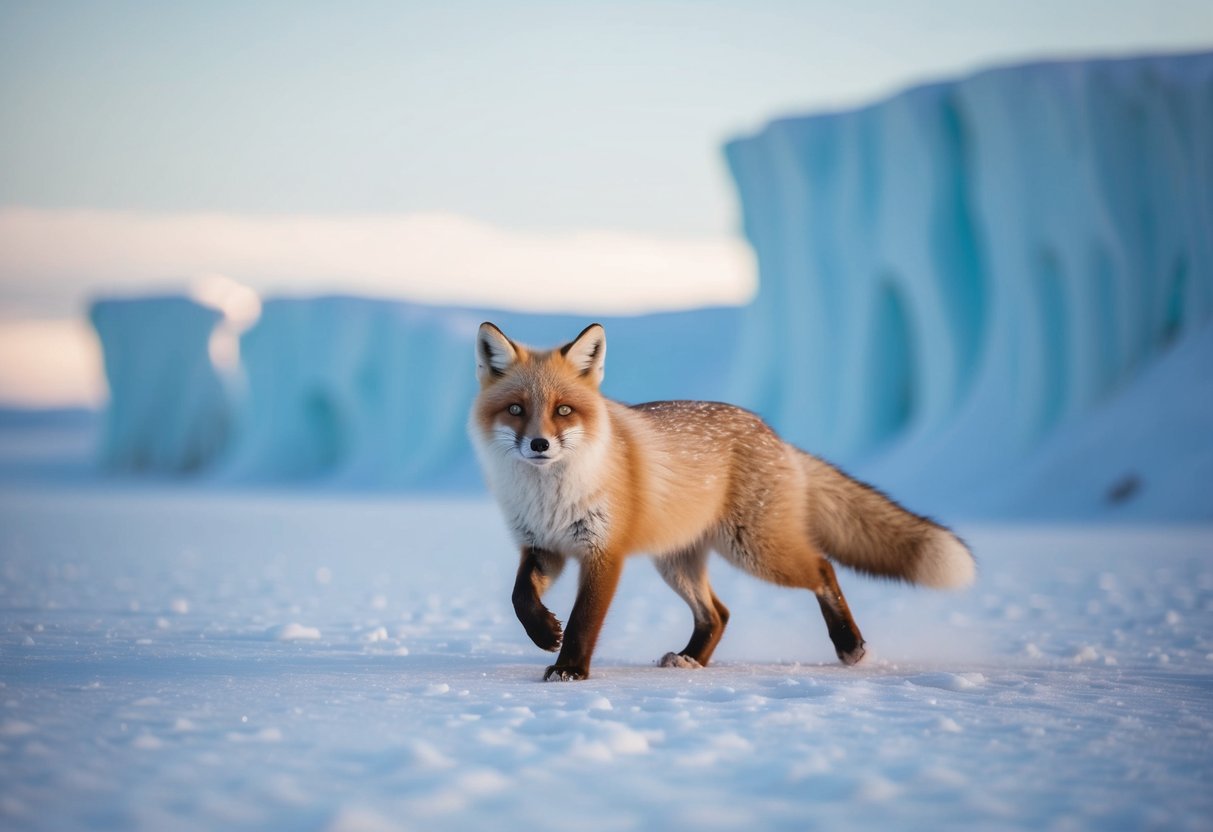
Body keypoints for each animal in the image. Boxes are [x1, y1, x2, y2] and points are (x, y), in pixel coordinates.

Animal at [469, 321, 975, 681]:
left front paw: (570, 668)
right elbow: (519, 597)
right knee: (718, 613)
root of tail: (776, 435)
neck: (550, 494)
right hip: (677, 561)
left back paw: (850, 646)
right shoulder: (544, 545)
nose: (539, 445)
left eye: (563, 410)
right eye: (516, 409)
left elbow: (584, 620)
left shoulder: (603, 551)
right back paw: (691, 659)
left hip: (755, 551)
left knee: (822, 567)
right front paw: (543, 633)